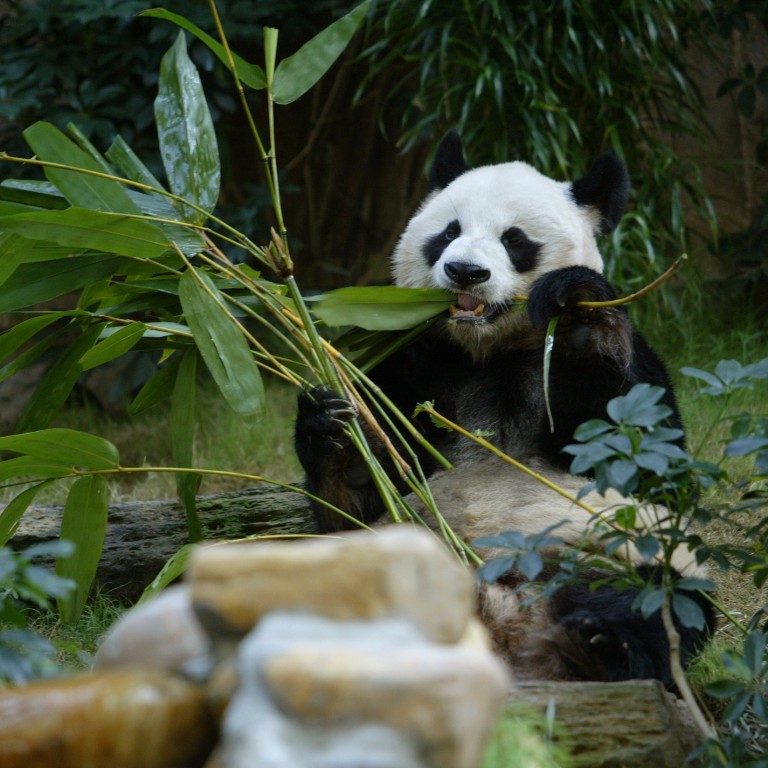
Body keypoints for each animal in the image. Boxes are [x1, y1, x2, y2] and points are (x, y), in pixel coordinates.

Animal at [294, 130, 714, 686]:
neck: (488, 349)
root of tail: (506, 625)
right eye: (448, 232)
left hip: (621, 554)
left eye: (515, 239)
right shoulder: (406, 368)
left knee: (654, 601)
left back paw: (597, 647)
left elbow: (650, 462)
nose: (464, 271)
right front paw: (337, 436)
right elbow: (356, 501)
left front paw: (580, 313)